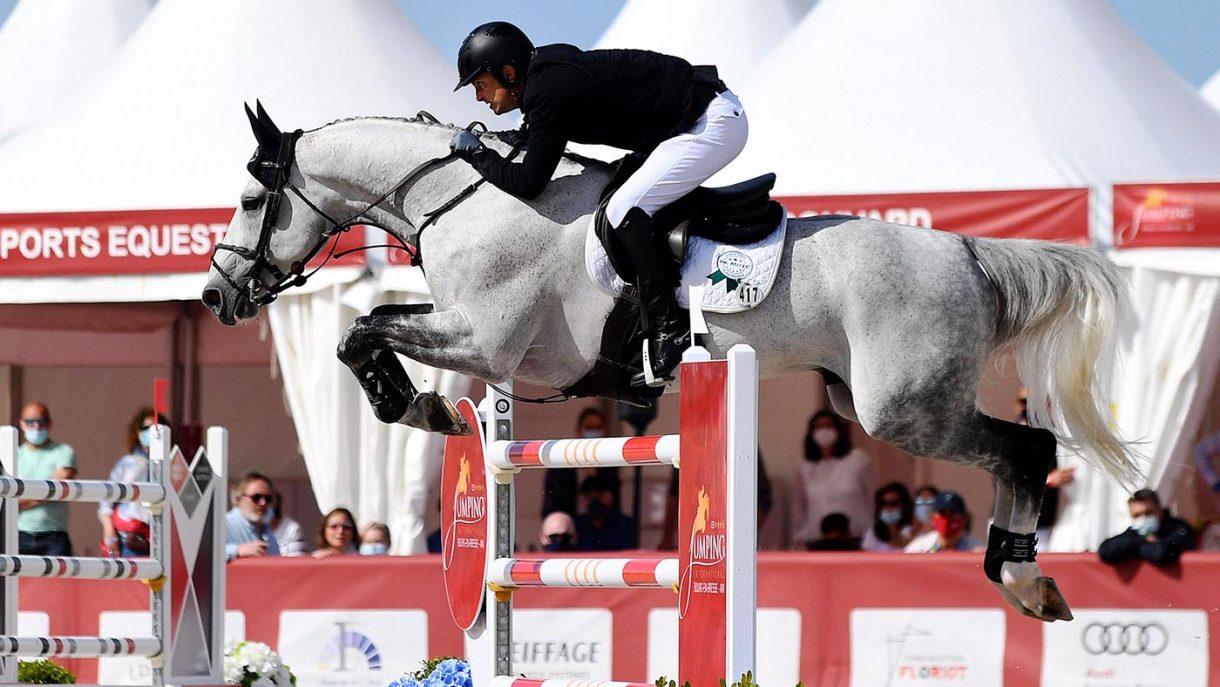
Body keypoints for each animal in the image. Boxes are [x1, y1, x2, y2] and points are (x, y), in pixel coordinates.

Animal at [202, 105, 1138, 623]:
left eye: (250, 198)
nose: (217, 295)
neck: (461, 198)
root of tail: (969, 253)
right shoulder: (479, 341)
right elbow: (367, 327)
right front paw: (421, 403)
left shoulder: (482, 337)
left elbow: (364, 328)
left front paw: (417, 405)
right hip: (881, 401)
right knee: (1020, 452)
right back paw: (1022, 577)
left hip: (904, 409)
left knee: (1027, 448)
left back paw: (1024, 577)